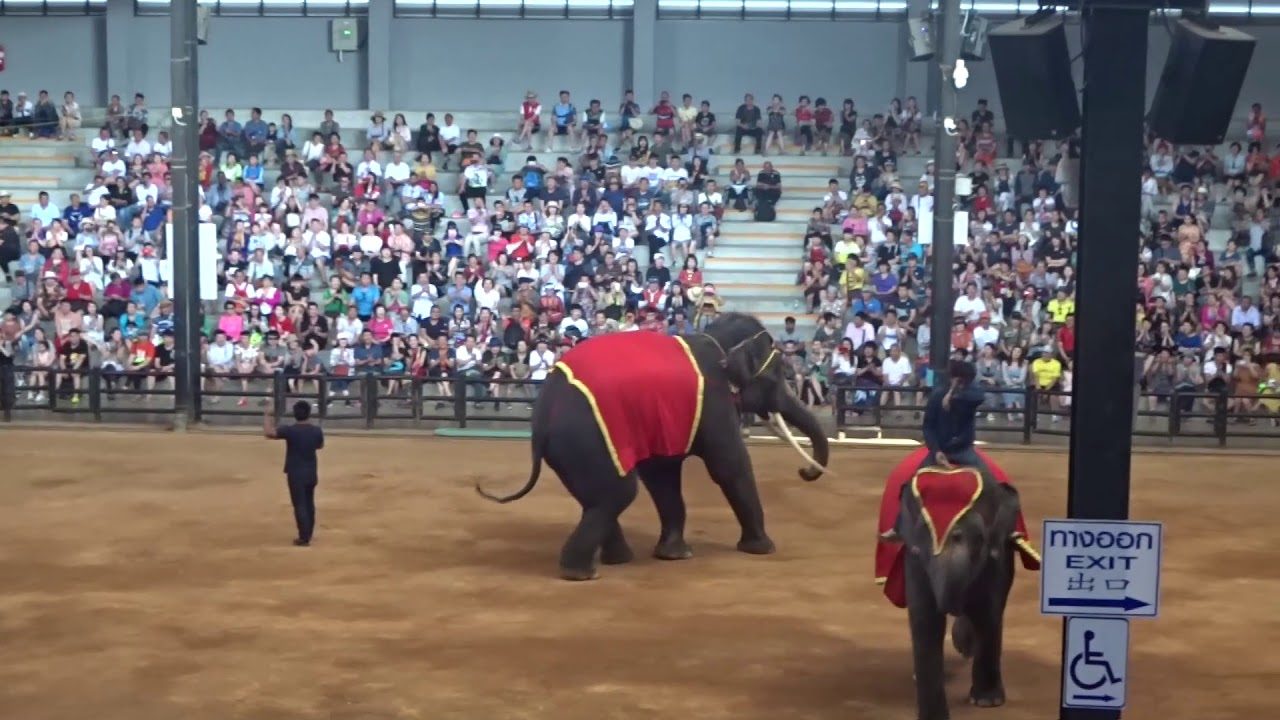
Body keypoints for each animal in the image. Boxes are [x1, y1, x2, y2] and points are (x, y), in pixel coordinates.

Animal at [475, 312, 830, 581]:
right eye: (777, 375)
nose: (805, 470)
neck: (715, 337)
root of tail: (541, 417)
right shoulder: (715, 404)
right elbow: (729, 466)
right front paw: (762, 548)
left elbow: (663, 475)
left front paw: (674, 555)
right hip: (585, 441)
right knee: (618, 494)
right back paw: (583, 573)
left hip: (568, 453)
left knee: (596, 499)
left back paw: (614, 560)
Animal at [876, 452, 1040, 720]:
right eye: (917, 547)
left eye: (980, 540)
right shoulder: (913, 561)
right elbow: (925, 620)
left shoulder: (999, 550)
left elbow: (988, 610)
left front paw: (987, 701)